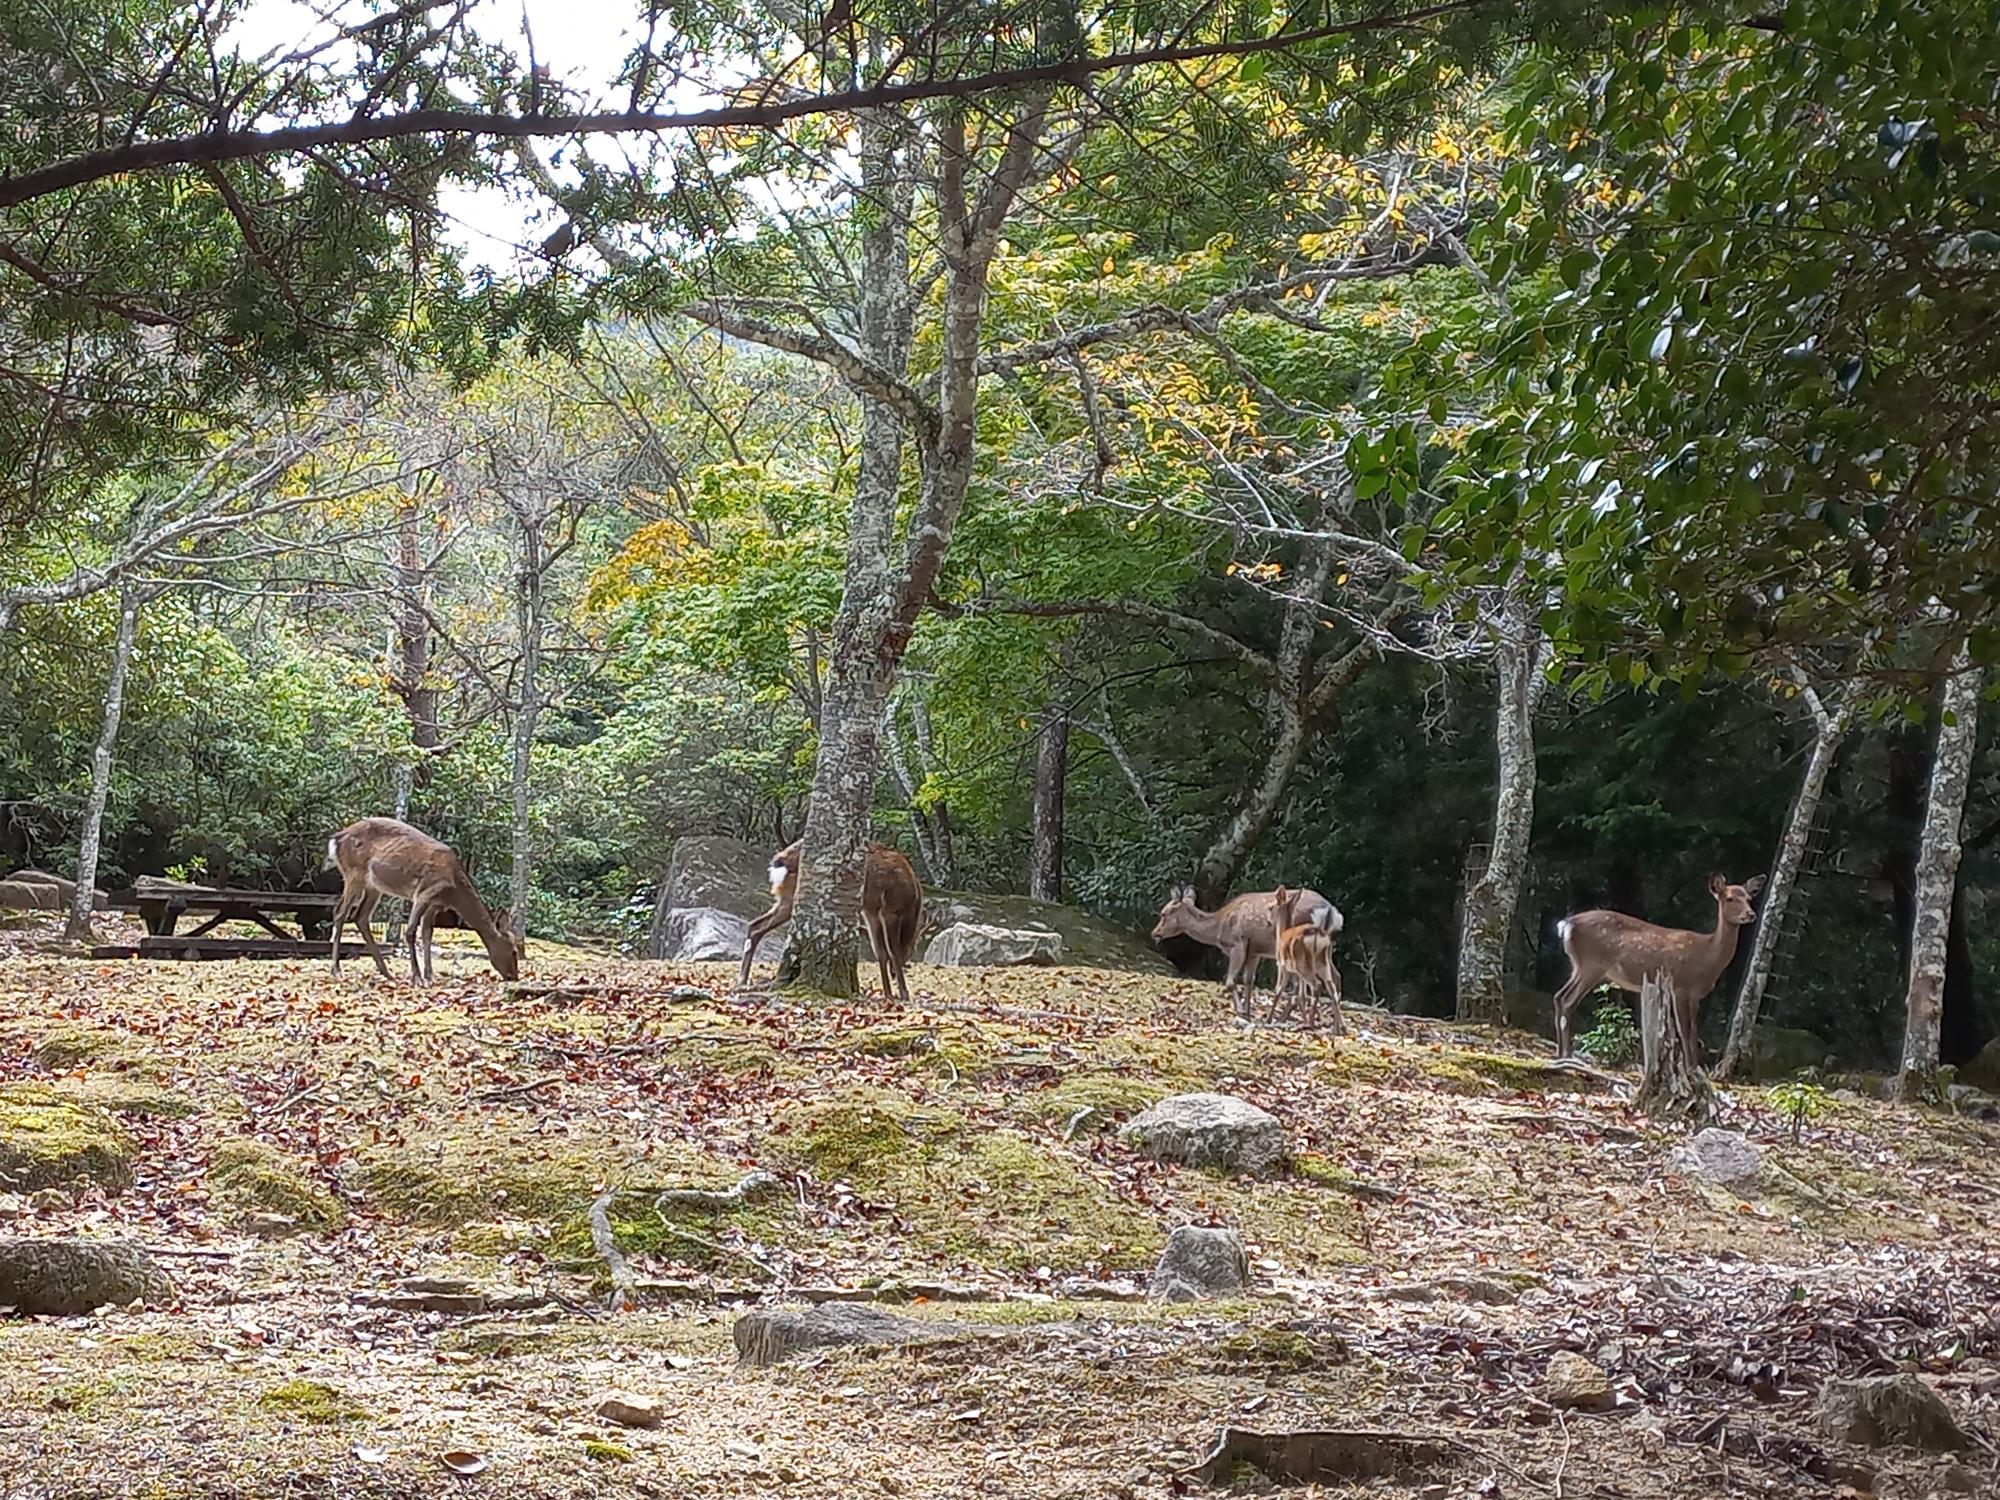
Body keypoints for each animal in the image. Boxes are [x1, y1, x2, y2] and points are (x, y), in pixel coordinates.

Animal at [324, 824, 520, 988]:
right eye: (514, 951)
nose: (514, 977)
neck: (453, 891)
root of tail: (336, 839)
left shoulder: (435, 904)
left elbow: (427, 934)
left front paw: (430, 976)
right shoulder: (424, 891)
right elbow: (411, 932)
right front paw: (417, 978)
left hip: (374, 885)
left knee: (361, 916)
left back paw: (387, 972)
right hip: (354, 873)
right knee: (340, 913)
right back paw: (337, 970)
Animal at [736, 840, 920, 1004]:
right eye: (910, 952)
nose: (894, 974)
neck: (911, 901)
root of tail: (779, 862)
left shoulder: (871, 912)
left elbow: (880, 952)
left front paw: (888, 994)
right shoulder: (891, 909)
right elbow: (893, 951)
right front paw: (904, 994)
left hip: (785, 897)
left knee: (755, 926)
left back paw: (742, 980)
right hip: (795, 895)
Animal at [1152, 880, 1336, 1024]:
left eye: (1164, 913)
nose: (1154, 933)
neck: (1219, 928)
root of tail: (1329, 910)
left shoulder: (1238, 943)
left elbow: (1230, 981)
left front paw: (1240, 1011)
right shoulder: (1254, 951)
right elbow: (1249, 981)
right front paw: (1247, 1013)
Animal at [1272, 888, 1352, 1040]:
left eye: (1271, 906)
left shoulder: (1283, 966)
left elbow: (1279, 989)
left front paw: (1268, 1019)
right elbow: (1301, 995)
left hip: (1304, 964)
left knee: (1317, 985)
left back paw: (1310, 1024)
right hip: (1322, 961)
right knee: (1334, 982)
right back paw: (1339, 1028)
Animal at [1544, 876, 1768, 1064]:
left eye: (1749, 898)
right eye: (1729, 898)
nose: (1751, 914)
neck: (1707, 958)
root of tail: (1566, 924)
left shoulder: (1695, 995)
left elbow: (1695, 1031)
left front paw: (1695, 1067)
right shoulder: (1679, 986)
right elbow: (1685, 1031)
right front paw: (1691, 1067)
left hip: (1580, 966)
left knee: (1559, 996)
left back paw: (1561, 1053)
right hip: (1592, 964)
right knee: (1568, 1000)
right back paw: (1566, 1054)